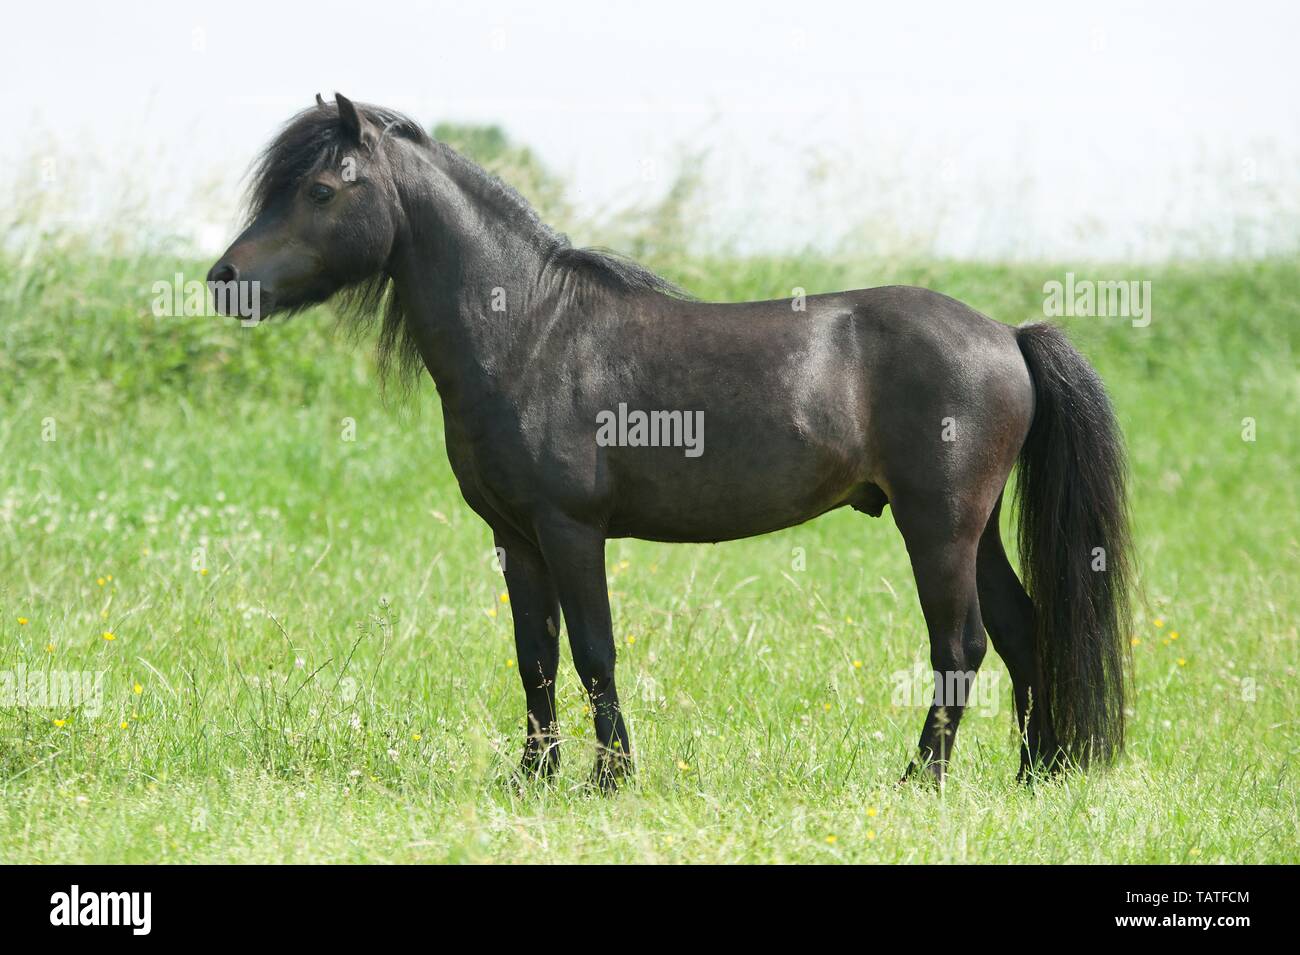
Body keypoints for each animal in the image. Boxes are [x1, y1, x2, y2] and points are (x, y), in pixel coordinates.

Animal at [208, 94, 1132, 788]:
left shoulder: (570, 529)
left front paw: (611, 777)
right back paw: (1033, 774)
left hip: (937, 525)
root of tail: (1008, 335)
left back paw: (920, 779)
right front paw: (531, 776)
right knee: (1020, 630)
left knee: (960, 643)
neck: (531, 330)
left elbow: (593, 650)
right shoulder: (515, 537)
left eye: (321, 190)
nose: (225, 281)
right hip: (973, 529)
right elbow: (535, 657)